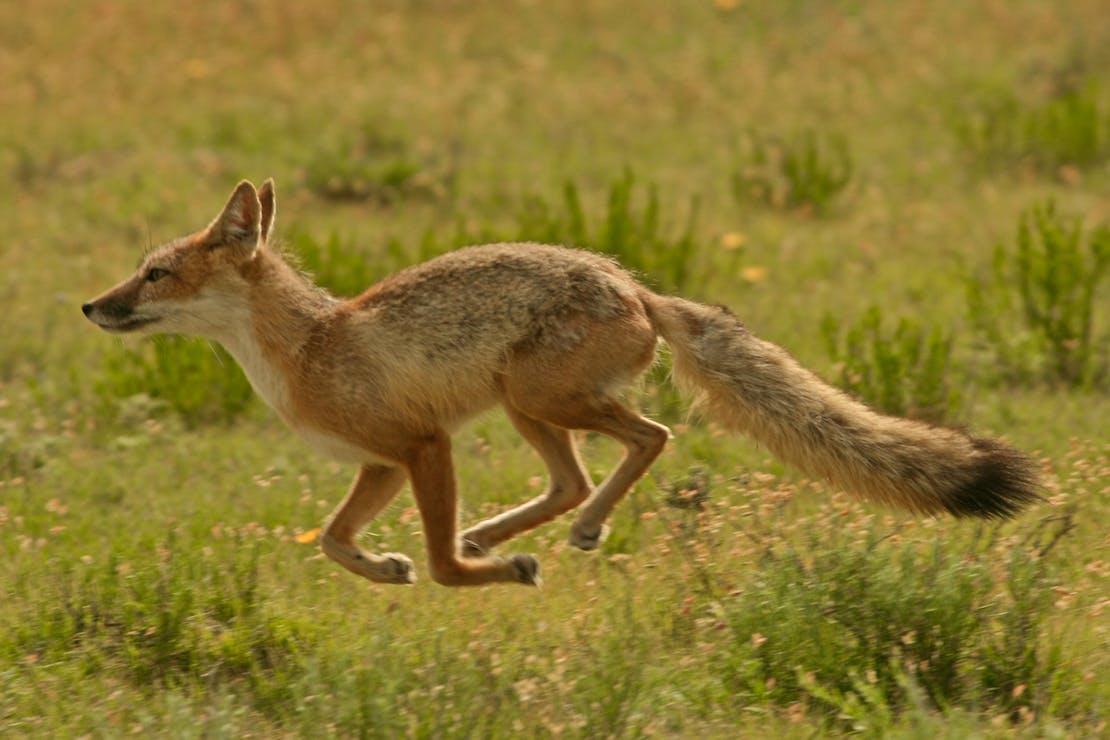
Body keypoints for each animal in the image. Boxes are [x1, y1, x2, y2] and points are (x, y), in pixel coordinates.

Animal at [83, 179, 1041, 587]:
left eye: (156, 274)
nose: (92, 304)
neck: (311, 346)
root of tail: (634, 285)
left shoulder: (421, 446)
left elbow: (438, 565)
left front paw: (481, 573)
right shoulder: (383, 462)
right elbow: (332, 541)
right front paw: (386, 566)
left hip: (536, 400)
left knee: (650, 439)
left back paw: (552, 538)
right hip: (526, 410)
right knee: (576, 477)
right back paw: (508, 532)